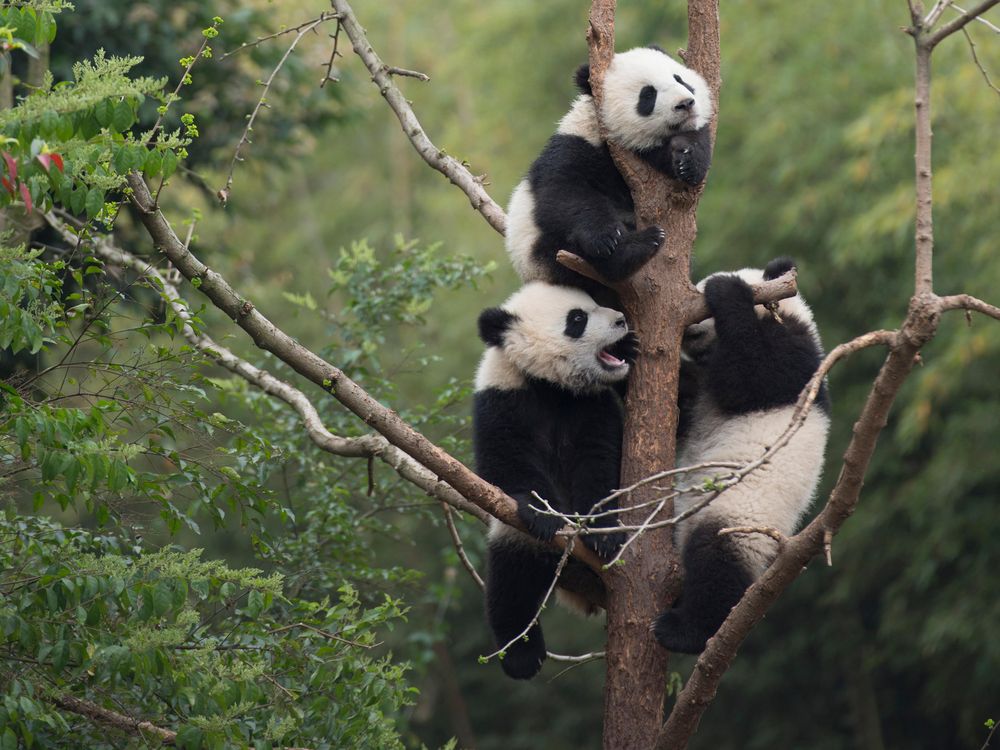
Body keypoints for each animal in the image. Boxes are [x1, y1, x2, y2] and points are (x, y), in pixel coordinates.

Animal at [474, 281, 637, 679]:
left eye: (596, 303)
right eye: (577, 319)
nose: (621, 319)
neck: (550, 384)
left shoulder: (591, 404)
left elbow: (599, 460)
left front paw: (602, 534)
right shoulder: (502, 396)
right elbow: (507, 462)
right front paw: (546, 515)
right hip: (514, 538)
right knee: (512, 580)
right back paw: (521, 655)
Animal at [506, 46, 713, 299]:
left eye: (679, 78)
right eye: (648, 95)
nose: (685, 103)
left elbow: (692, 144)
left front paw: (688, 161)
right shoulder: (577, 146)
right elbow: (564, 192)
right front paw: (606, 238)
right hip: (542, 253)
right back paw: (638, 246)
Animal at [652, 257, 830, 654]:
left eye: (700, 302)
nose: (689, 333)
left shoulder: (798, 360)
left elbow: (751, 377)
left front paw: (727, 290)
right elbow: (684, 410)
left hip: (740, 516)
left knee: (716, 561)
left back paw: (685, 631)